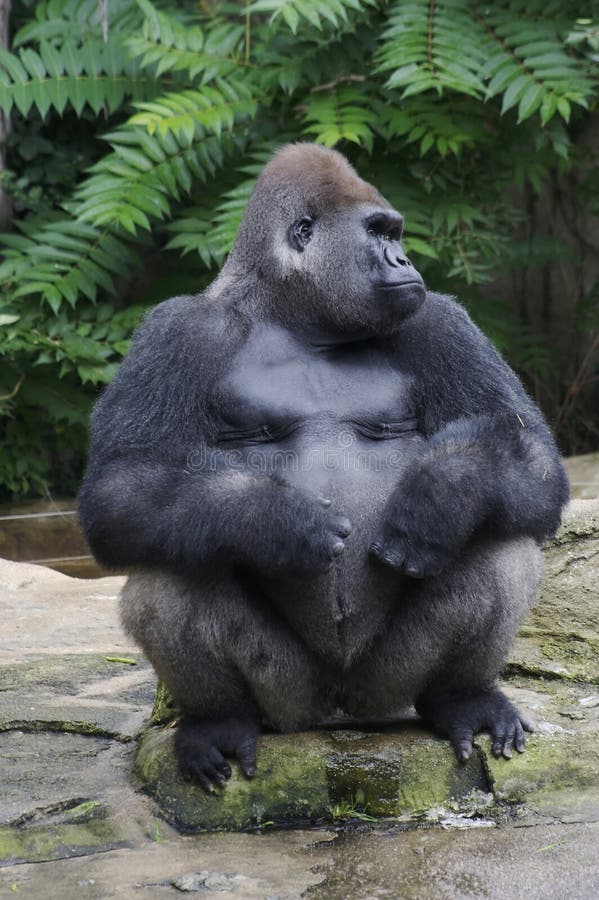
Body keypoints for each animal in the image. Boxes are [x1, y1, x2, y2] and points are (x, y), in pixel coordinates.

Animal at [78, 143, 569, 792]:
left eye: (393, 233)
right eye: (377, 232)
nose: (404, 258)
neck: (295, 314)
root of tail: (341, 710)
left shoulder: (437, 318)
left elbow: (530, 454)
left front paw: (438, 497)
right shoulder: (175, 330)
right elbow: (123, 484)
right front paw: (277, 523)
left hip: (387, 684)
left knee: (497, 539)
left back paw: (464, 698)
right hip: (289, 698)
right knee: (170, 566)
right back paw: (219, 720)